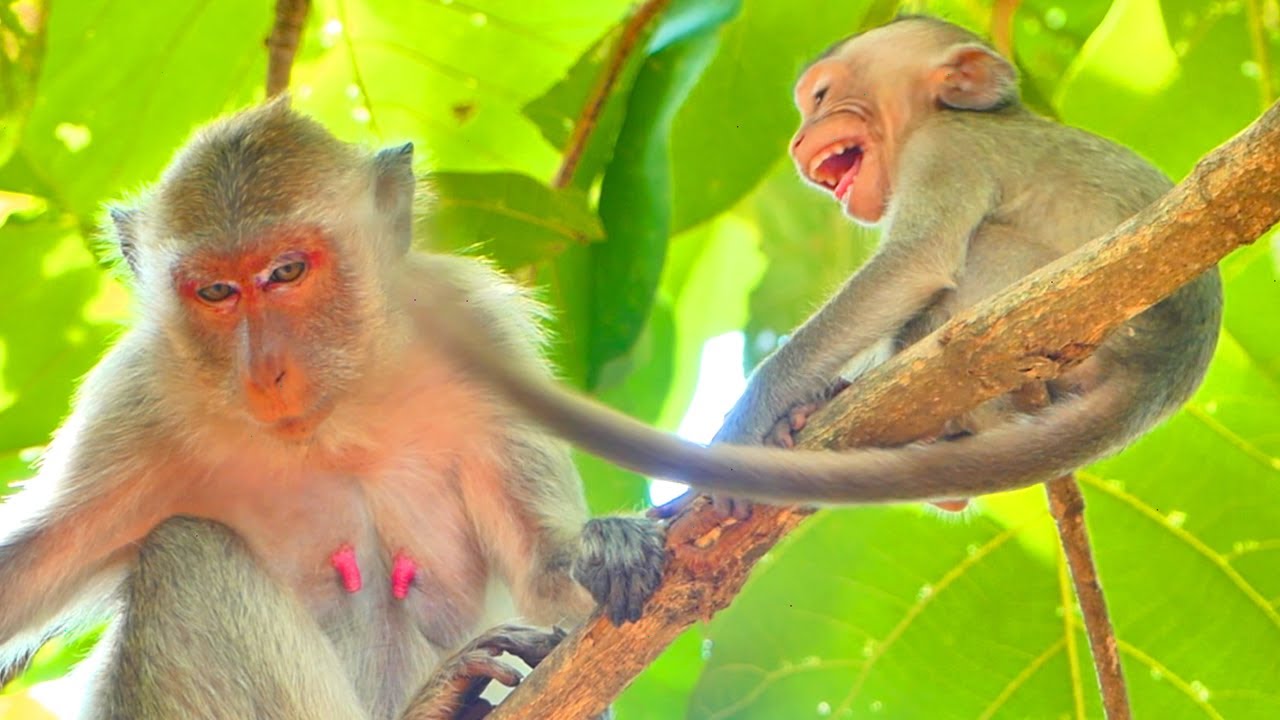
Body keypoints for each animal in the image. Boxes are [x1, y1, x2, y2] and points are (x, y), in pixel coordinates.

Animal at [0, 99, 665, 718]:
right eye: (216, 291)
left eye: (287, 271)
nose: (266, 372)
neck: (332, 423)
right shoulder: (135, 398)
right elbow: (25, 570)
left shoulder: (478, 328)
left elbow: (543, 576)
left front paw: (601, 552)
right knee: (188, 550)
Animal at [409, 16, 1222, 512]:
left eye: (824, 95)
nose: (800, 139)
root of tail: (1163, 377)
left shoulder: (946, 152)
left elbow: (916, 262)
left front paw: (751, 413)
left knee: (982, 253)